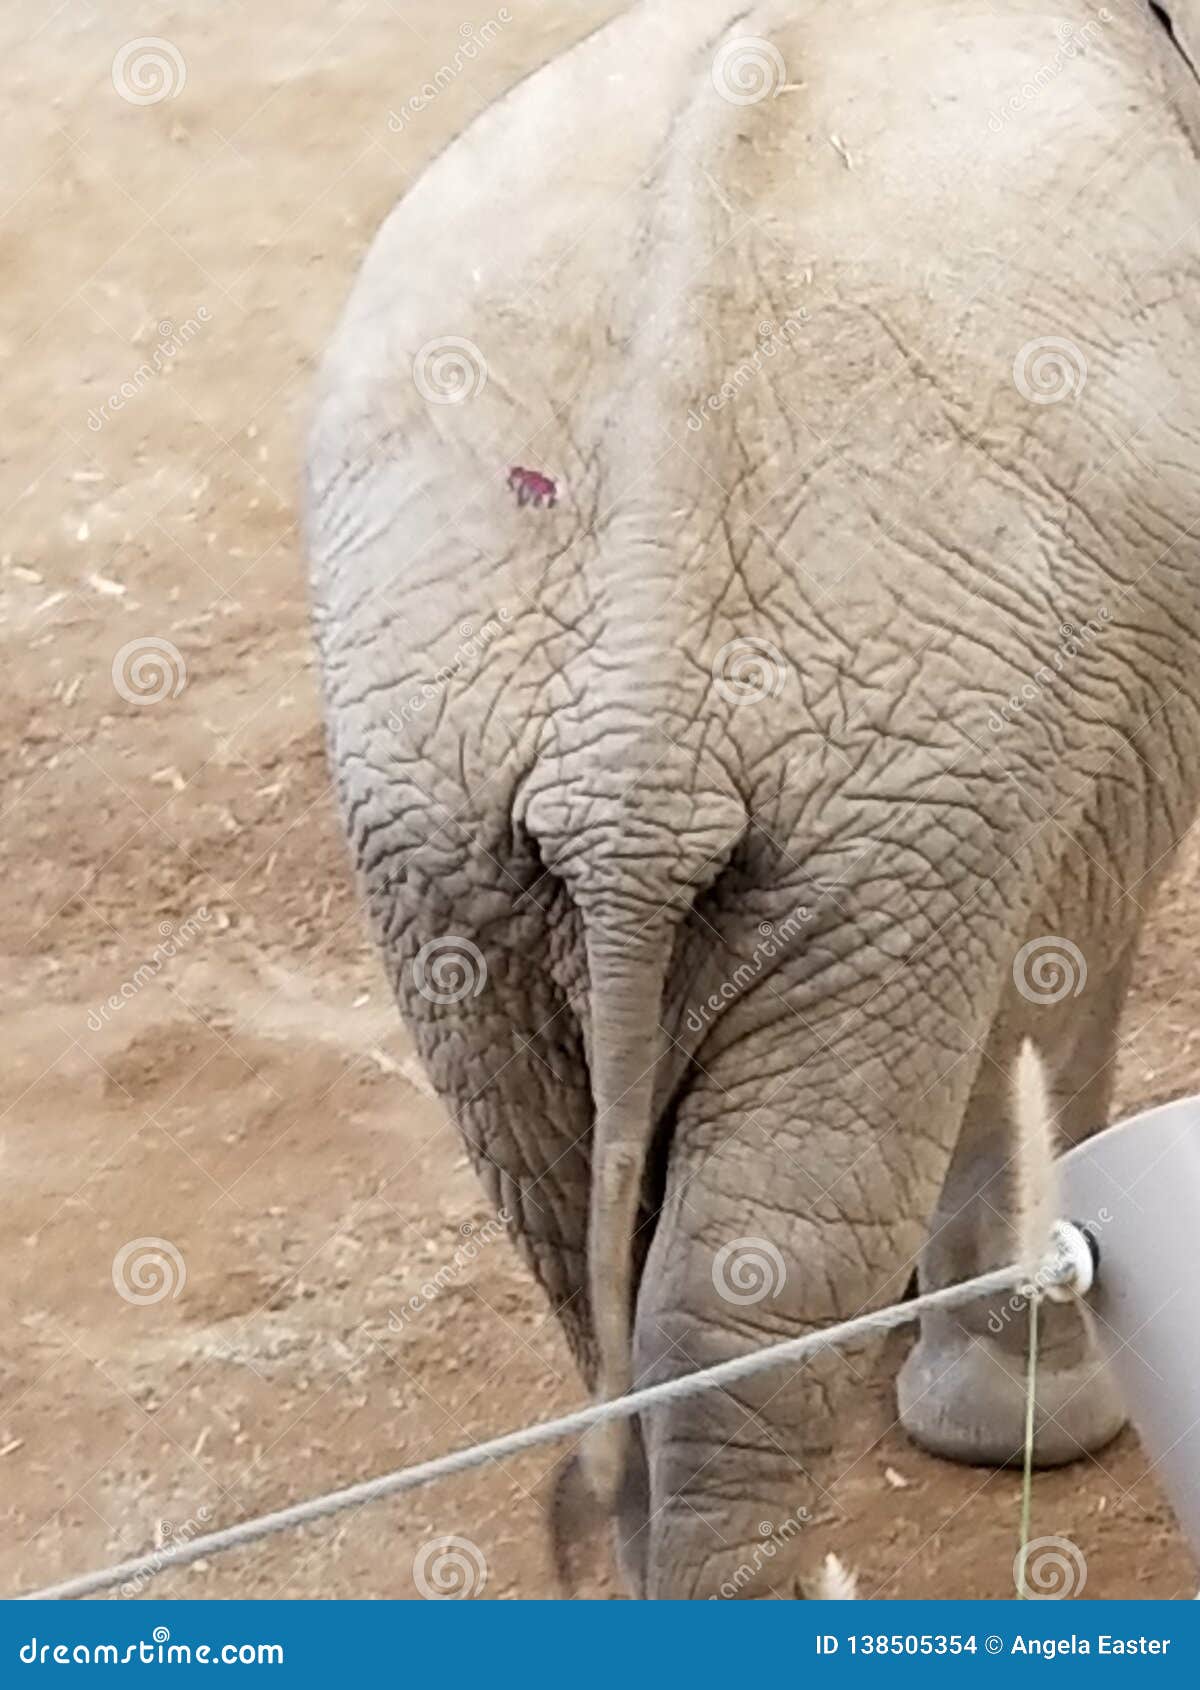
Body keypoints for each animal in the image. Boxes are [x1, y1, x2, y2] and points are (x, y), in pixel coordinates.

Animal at [307, 0, 1200, 1597]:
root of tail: (631, 723)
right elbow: (1058, 978)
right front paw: (1029, 1423)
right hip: (890, 777)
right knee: (753, 1271)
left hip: (444, 812)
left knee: (580, 1225)